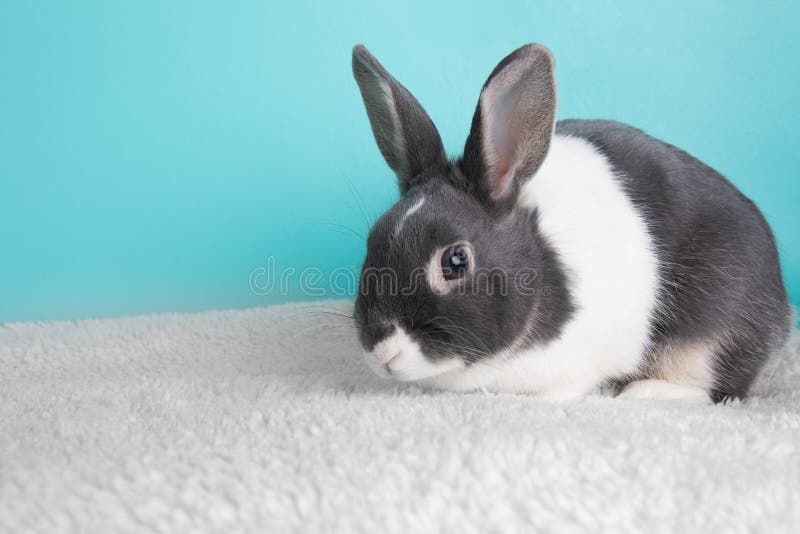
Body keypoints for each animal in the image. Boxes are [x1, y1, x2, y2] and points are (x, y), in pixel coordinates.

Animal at [350, 43, 790, 403]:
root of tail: (781, 310)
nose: (382, 350)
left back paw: (647, 392)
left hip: (711, 336)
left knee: (718, 389)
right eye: (372, 242)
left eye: (455, 261)